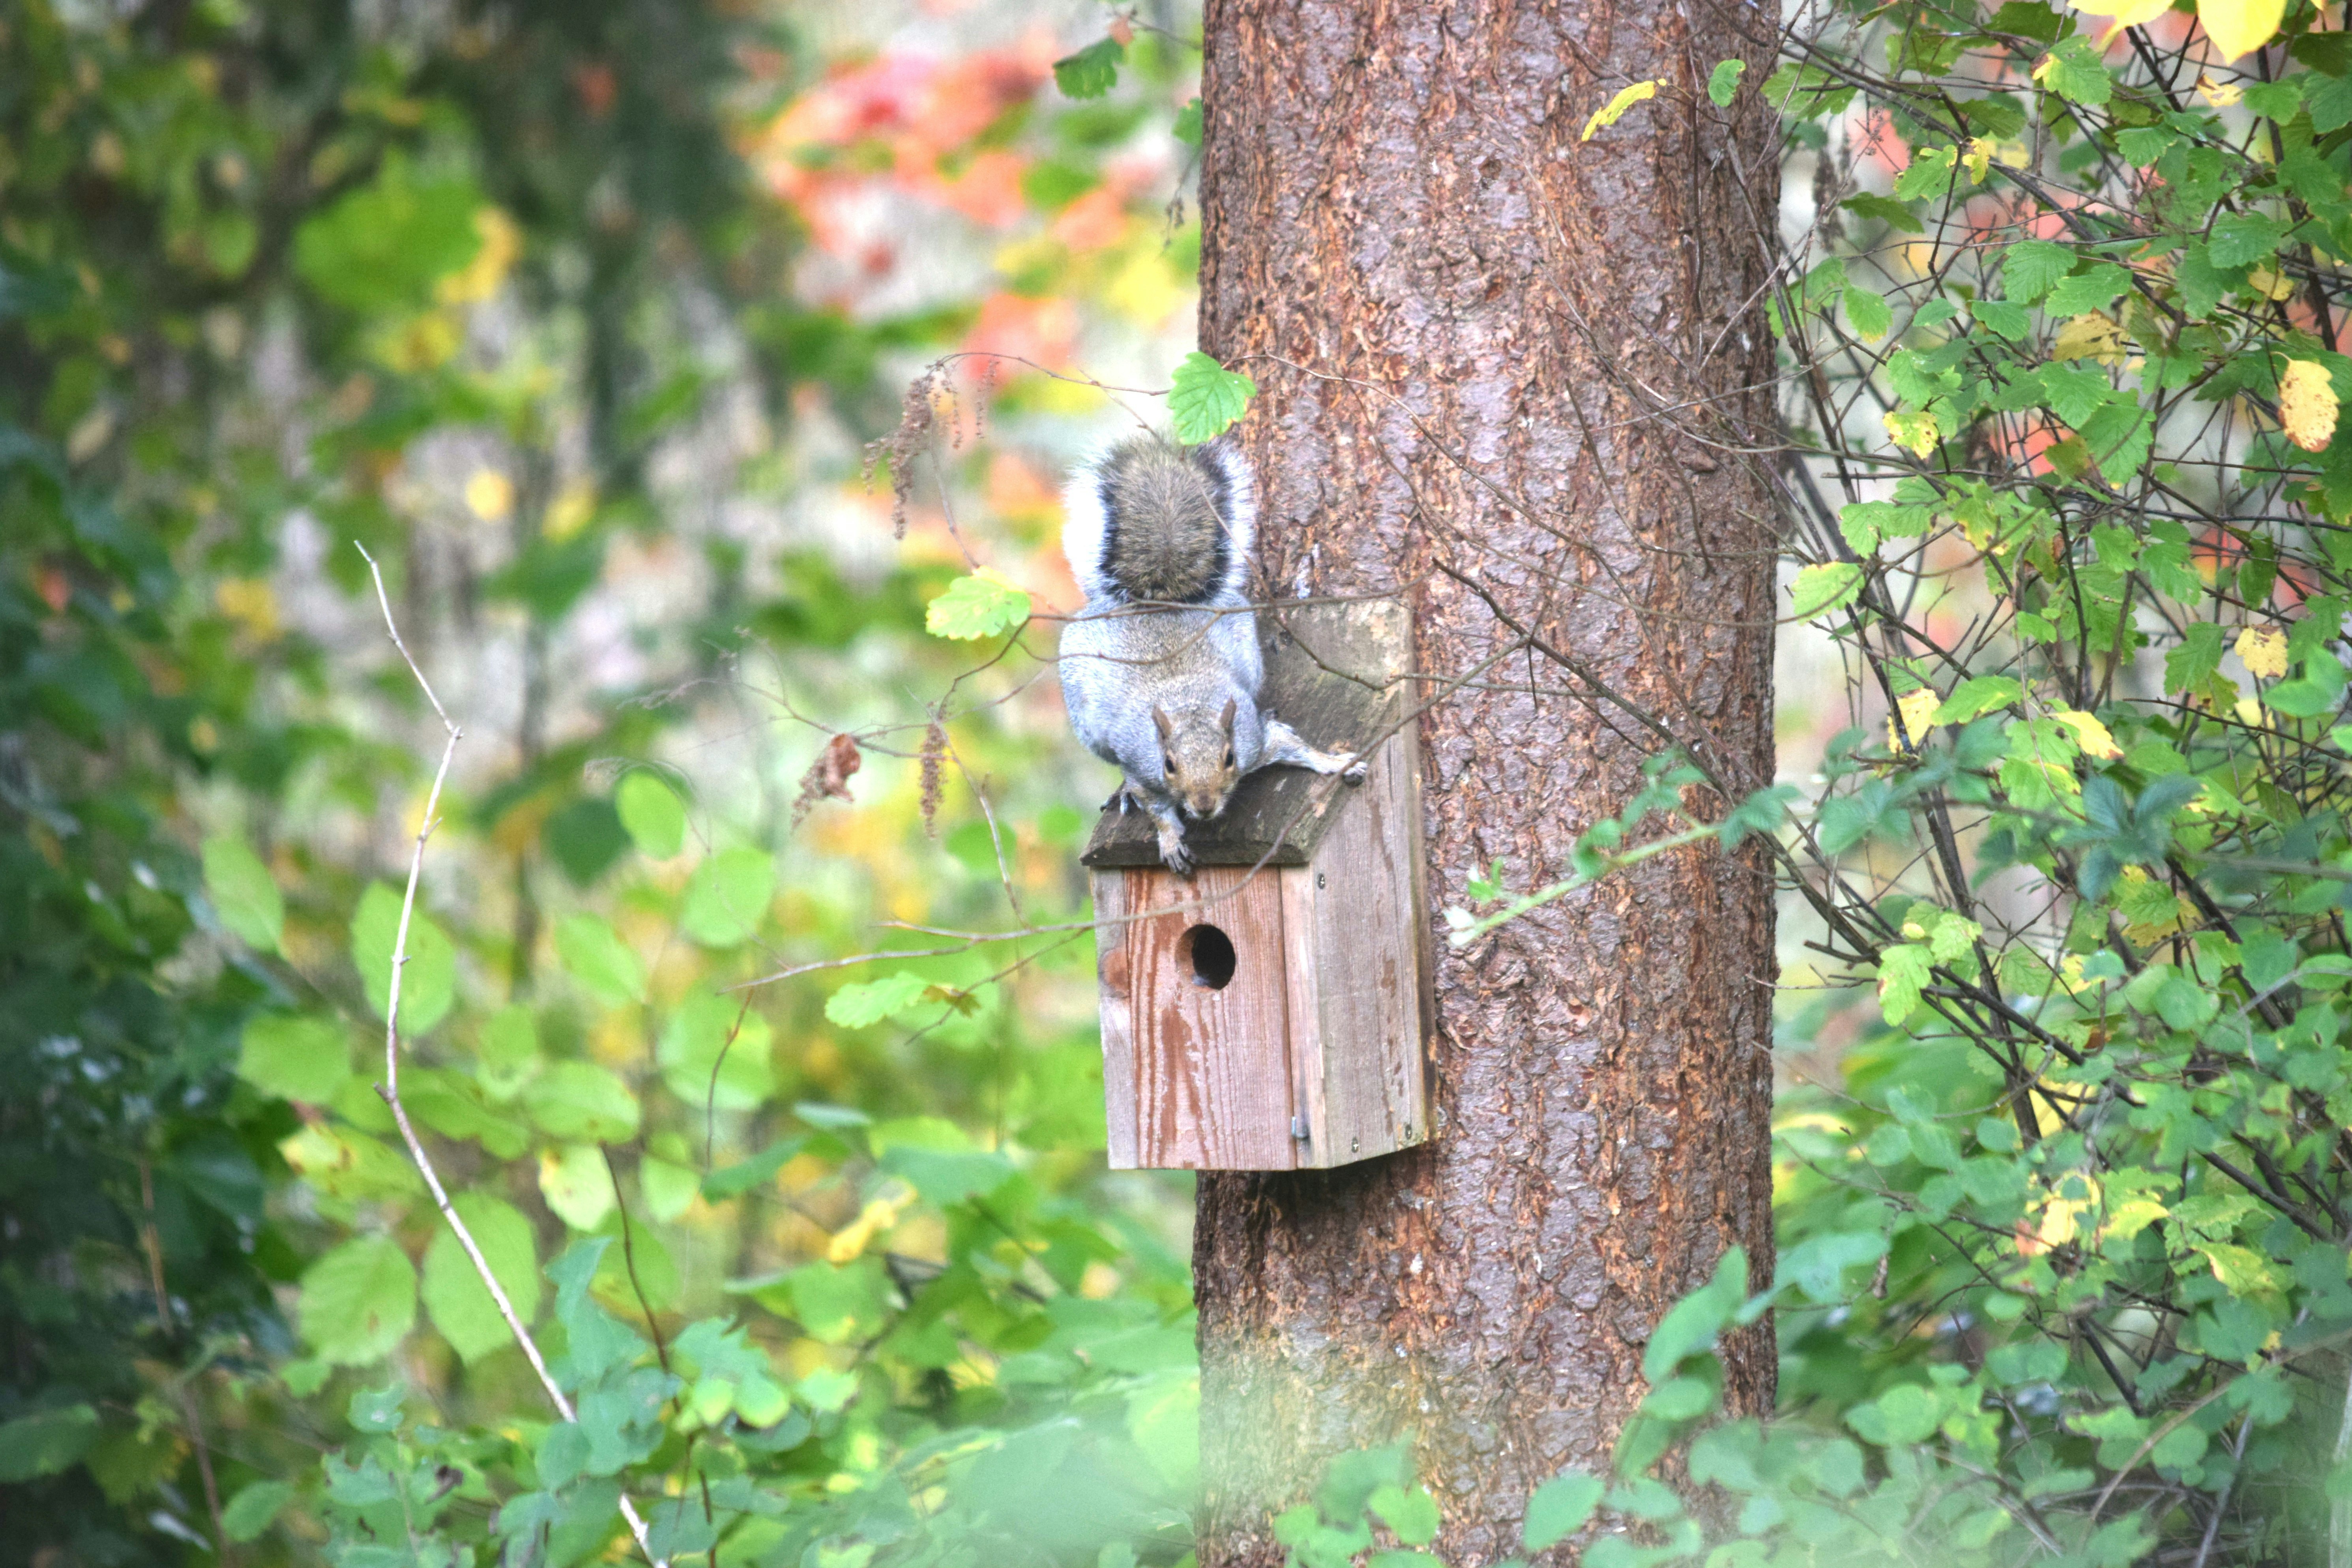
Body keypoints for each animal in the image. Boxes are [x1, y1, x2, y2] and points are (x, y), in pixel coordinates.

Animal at [1057, 433, 1364, 876]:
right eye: (1169, 764)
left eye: (1229, 757)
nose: (1203, 806)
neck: (1189, 706)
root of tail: (1156, 603)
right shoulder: (1143, 765)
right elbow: (1157, 809)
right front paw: (1170, 841)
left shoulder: (1254, 739)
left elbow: (1292, 745)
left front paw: (1335, 763)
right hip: (1089, 726)